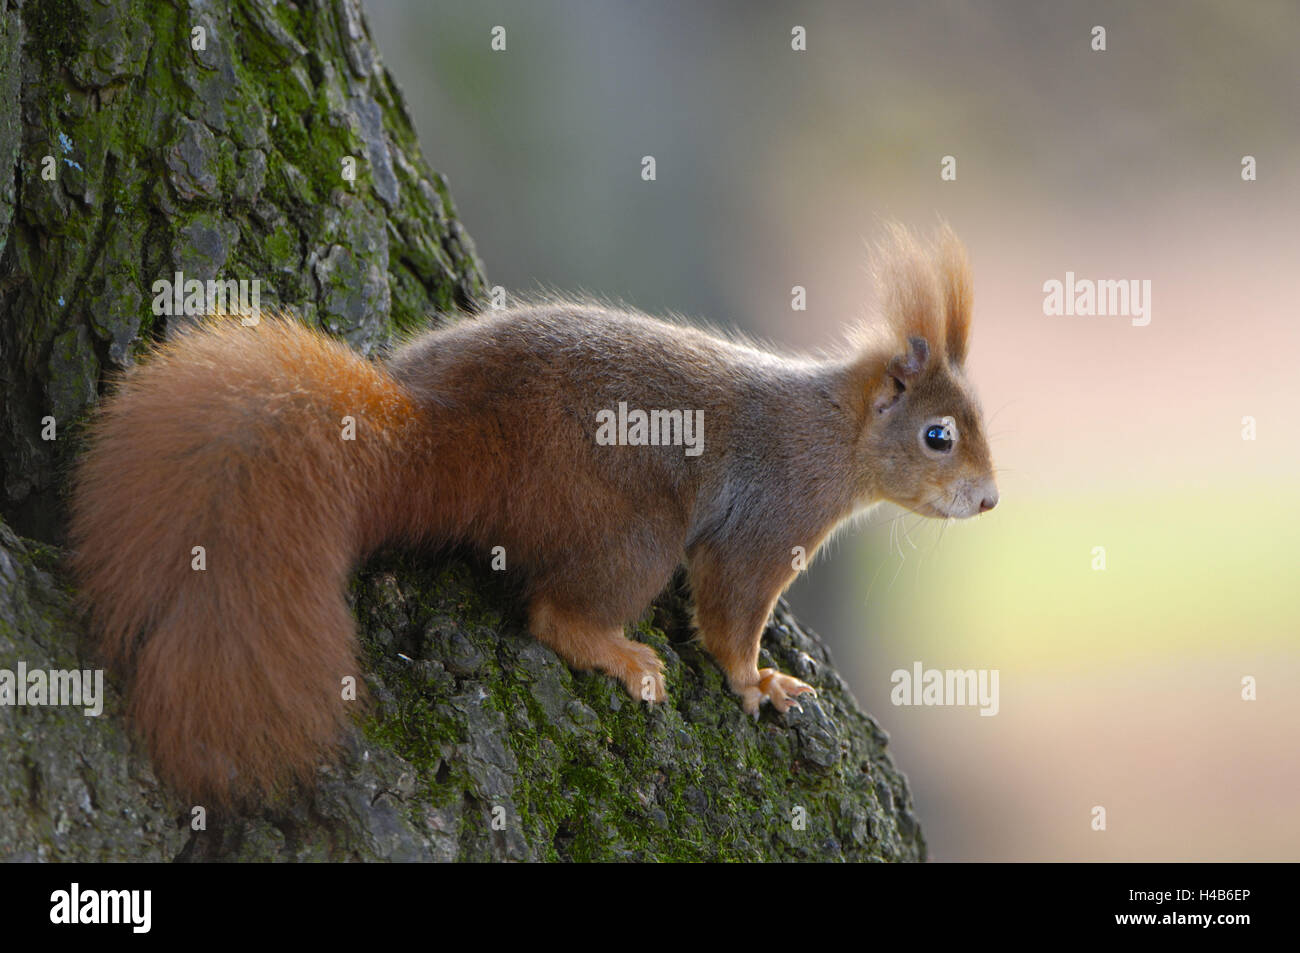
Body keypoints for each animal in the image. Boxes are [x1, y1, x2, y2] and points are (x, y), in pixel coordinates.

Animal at [69, 223, 998, 806]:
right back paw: (620, 653)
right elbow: (732, 609)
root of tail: (450, 443)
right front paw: (757, 680)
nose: (990, 499)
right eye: (939, 436)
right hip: (632, 532)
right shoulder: (773, 517)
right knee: (556, 614)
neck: (837, 431)